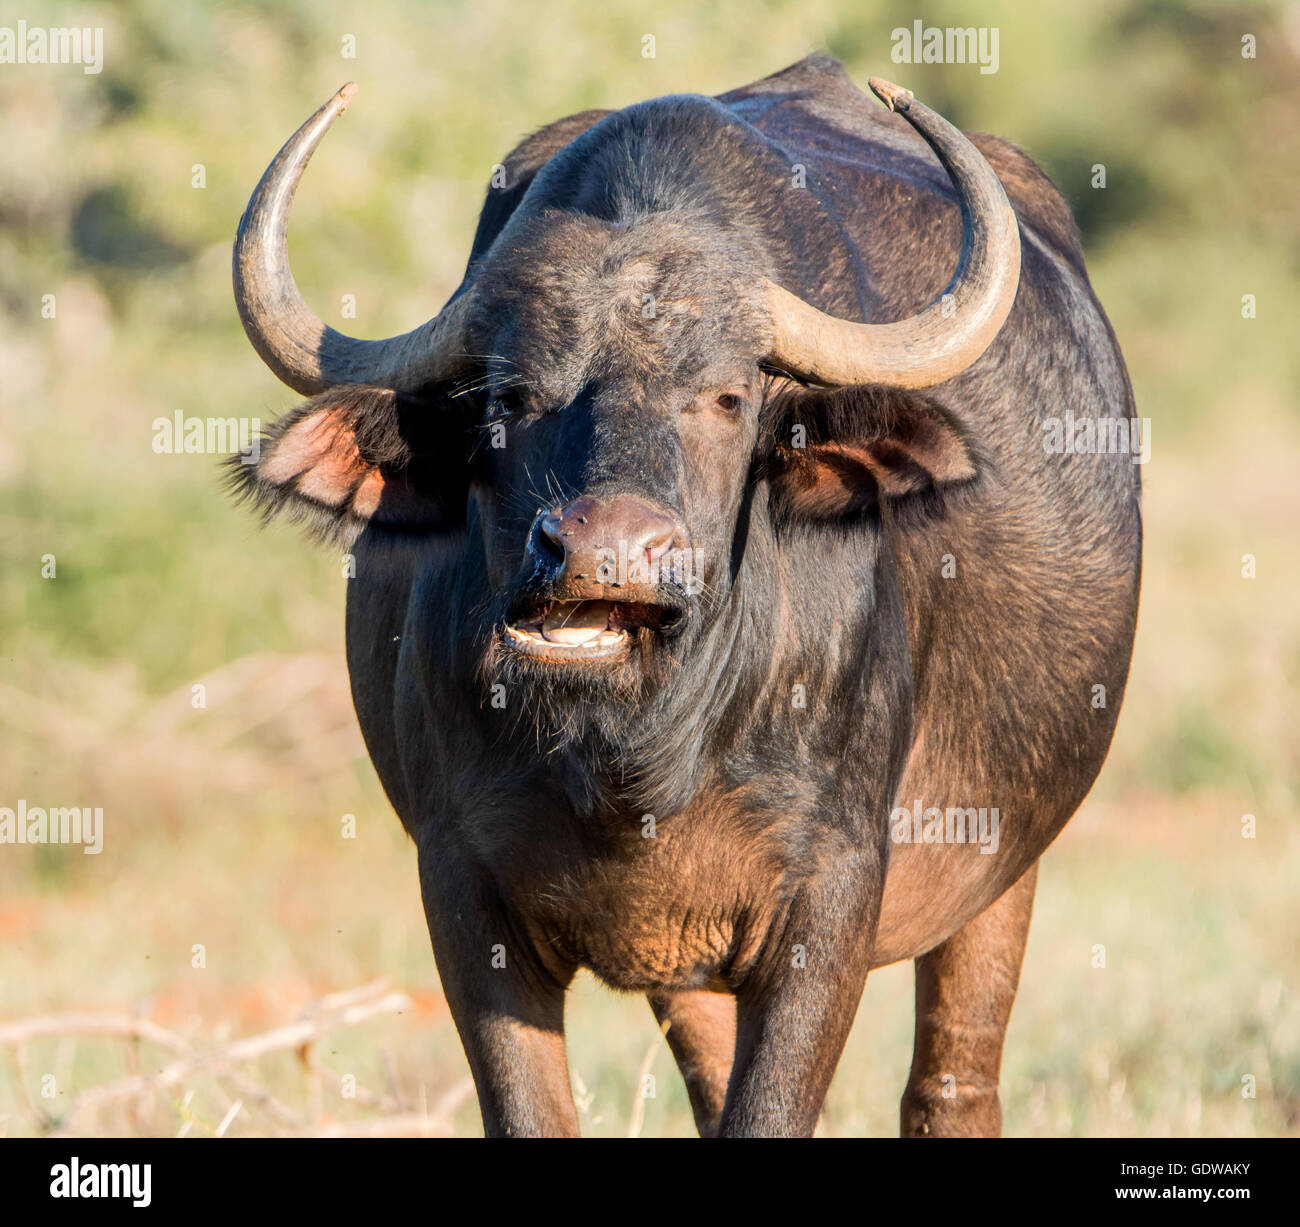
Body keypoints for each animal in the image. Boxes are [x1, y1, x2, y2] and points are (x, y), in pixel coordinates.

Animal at [230, 54, 1141, 1137]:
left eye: (727, 397)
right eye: (509, 399)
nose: (606, 552)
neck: (639, 759)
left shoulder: (830, 897)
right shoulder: (460, 888)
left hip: (1002, 871)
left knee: (953, 1081)